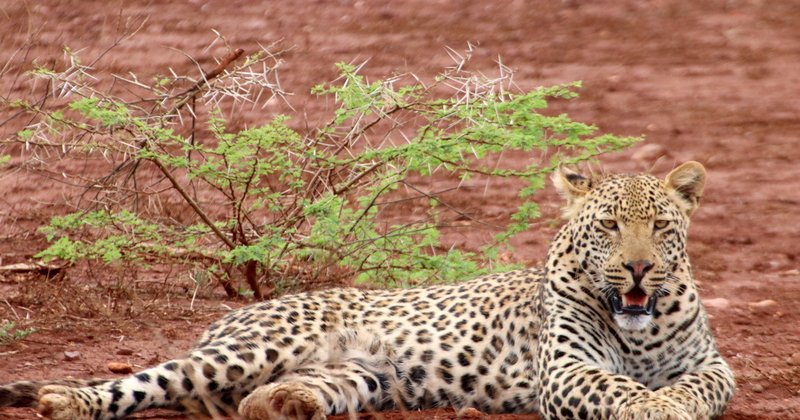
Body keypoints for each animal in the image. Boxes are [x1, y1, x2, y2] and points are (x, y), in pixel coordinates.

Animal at [0, 161, 735, 419]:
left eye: (660, 227)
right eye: (609, 227)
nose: (637, 270)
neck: (639, 330)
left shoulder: (712, 363)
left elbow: (698, 387)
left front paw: (671, 404)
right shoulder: (565, 369)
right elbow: (618, 388)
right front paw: (651, 409)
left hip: (362, 374)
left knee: (260, 398)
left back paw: (281, 405)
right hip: (250, 348)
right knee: (147, 380)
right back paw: (61, 400)